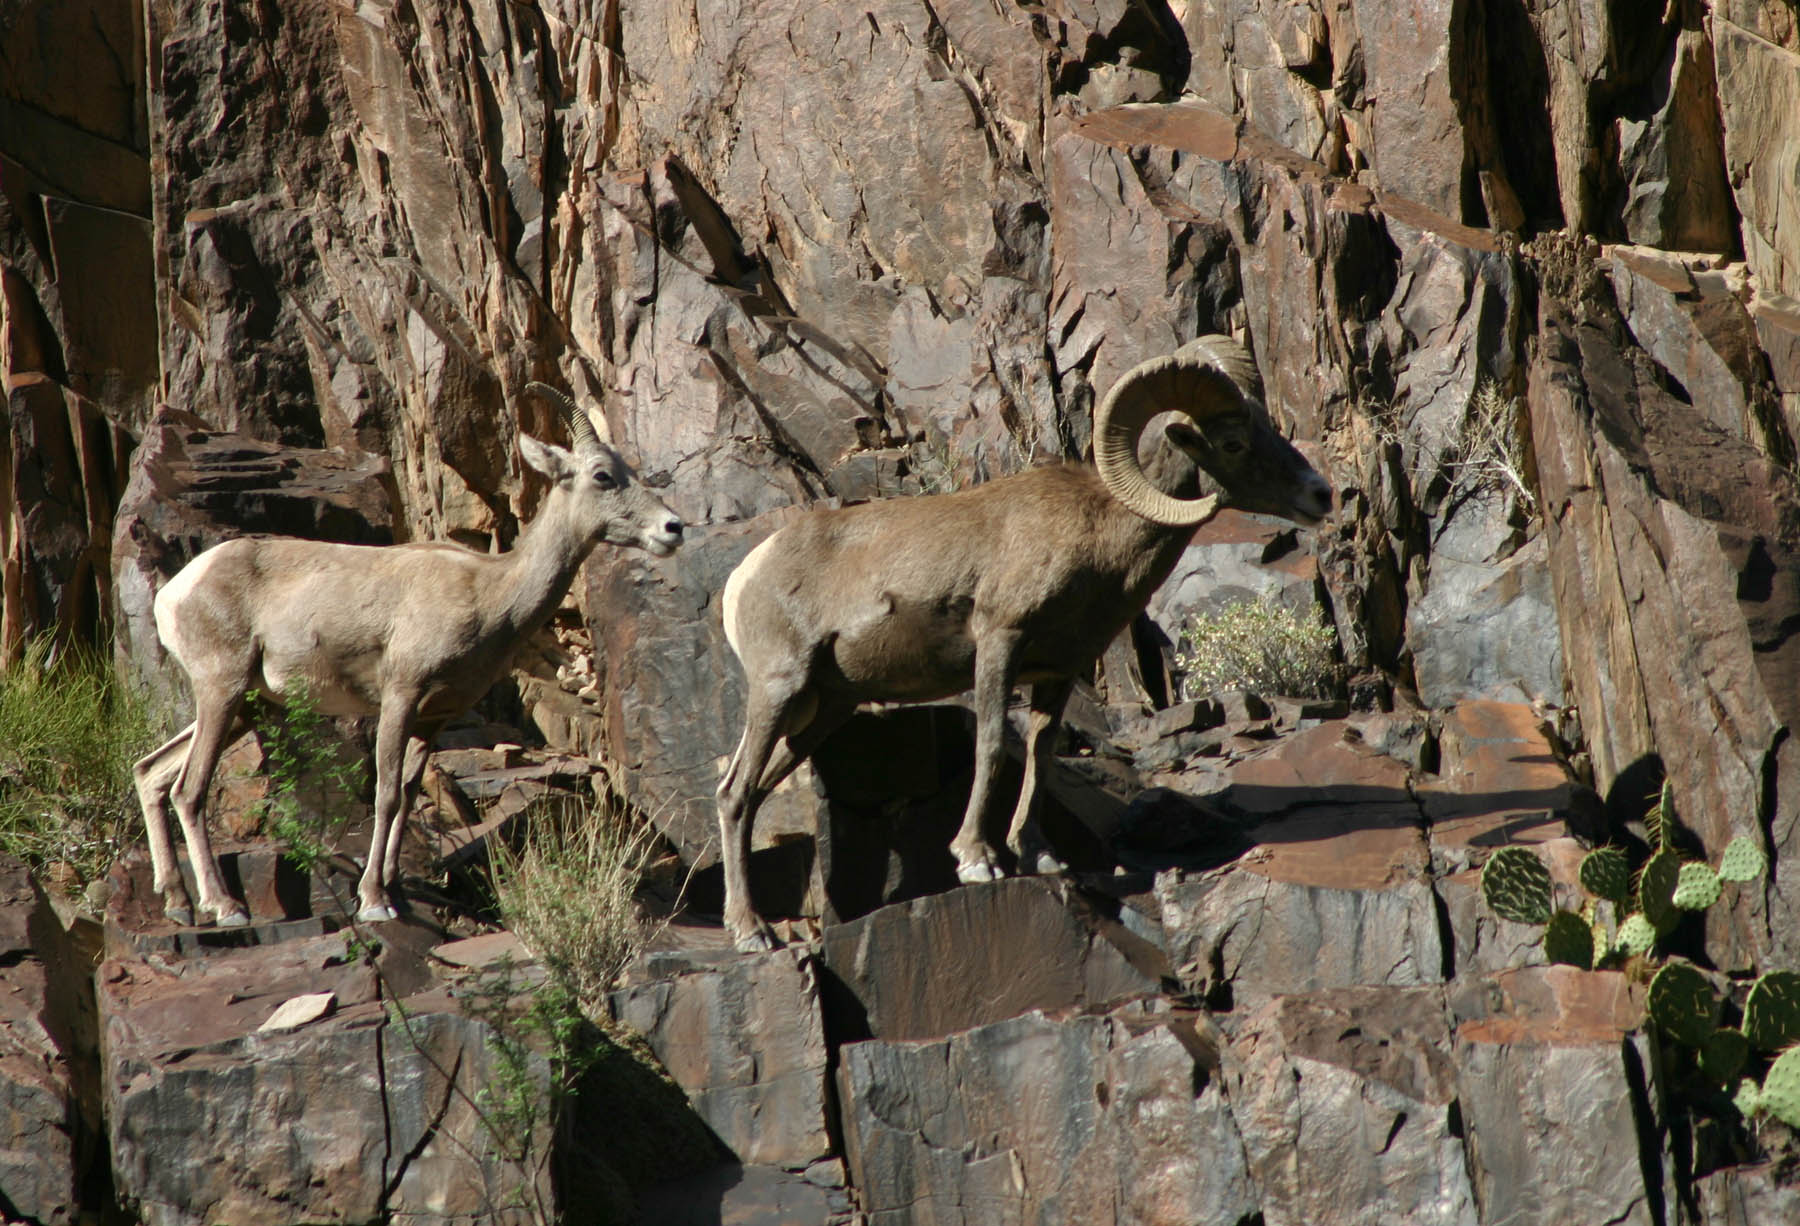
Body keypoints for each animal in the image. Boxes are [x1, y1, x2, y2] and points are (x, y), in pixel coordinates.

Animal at [132, 384, 684, 927]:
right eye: (602, 475)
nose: (673, 528)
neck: (491, 594)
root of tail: (176, 593)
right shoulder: (400, 696)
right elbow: (387, 793)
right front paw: (374, 901)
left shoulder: (432, 719)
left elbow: (408, 799)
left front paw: (395, 891)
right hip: (221, 689)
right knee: (188, 789)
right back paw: (225, 908)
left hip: (247, 704)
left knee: (151, 772)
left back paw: (178, 903)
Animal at [714, 335, 1333, 950]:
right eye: (1232, 443)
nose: (1321, 493)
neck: (1098, 536)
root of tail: (746, 574)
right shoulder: (1000, 643)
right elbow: (991, 746)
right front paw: (977, 861)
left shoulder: (1058, 672)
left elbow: (1040, 756)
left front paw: (1039, 857)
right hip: (780, 689)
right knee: (735, 794)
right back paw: (752, 933)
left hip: (826, 709)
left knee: (752, 794)